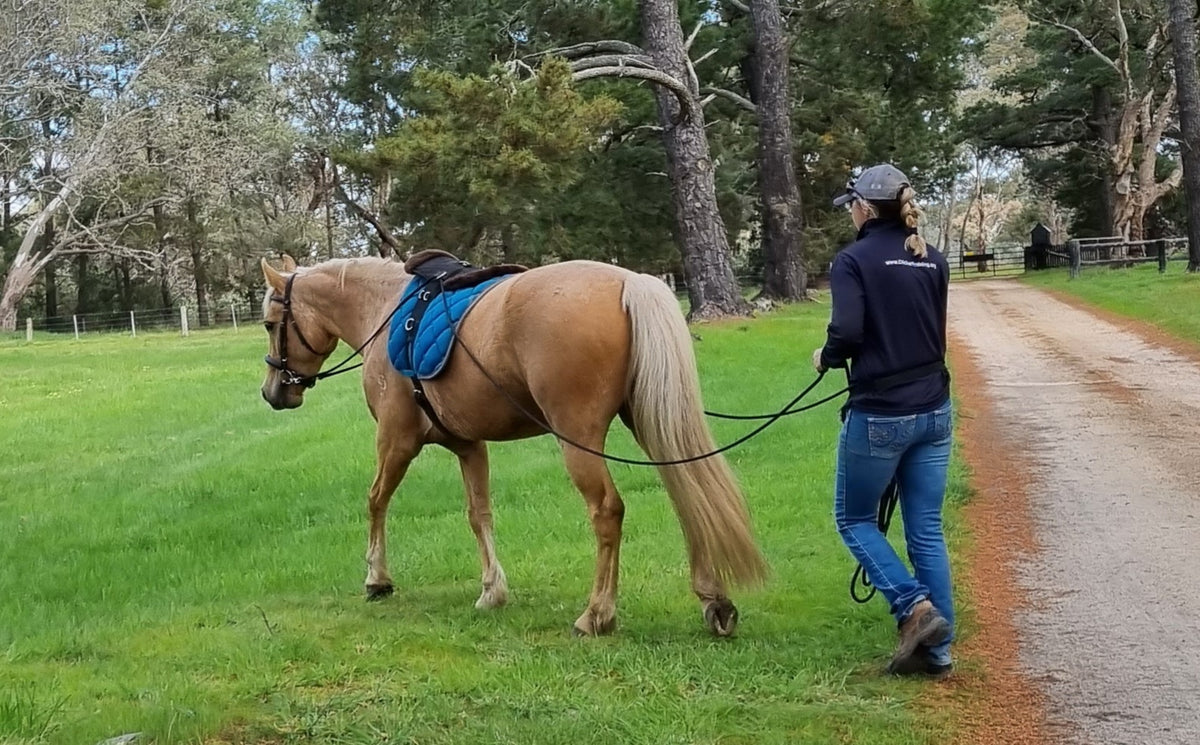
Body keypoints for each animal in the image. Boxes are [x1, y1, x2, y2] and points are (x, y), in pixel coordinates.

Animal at [258, 253, 768, 637]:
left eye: (268, 323)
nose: (272, 392)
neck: (384, 312)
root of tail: (628, 281)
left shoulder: (396, 439)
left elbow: (376, 499)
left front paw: (377, 578)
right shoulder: (469, 445)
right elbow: (478, 513)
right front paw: (491, 590)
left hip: (578, 440)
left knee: (608, 511)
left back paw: (596, 614)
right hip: (649, 417)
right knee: (688, 491)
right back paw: (713, 599)